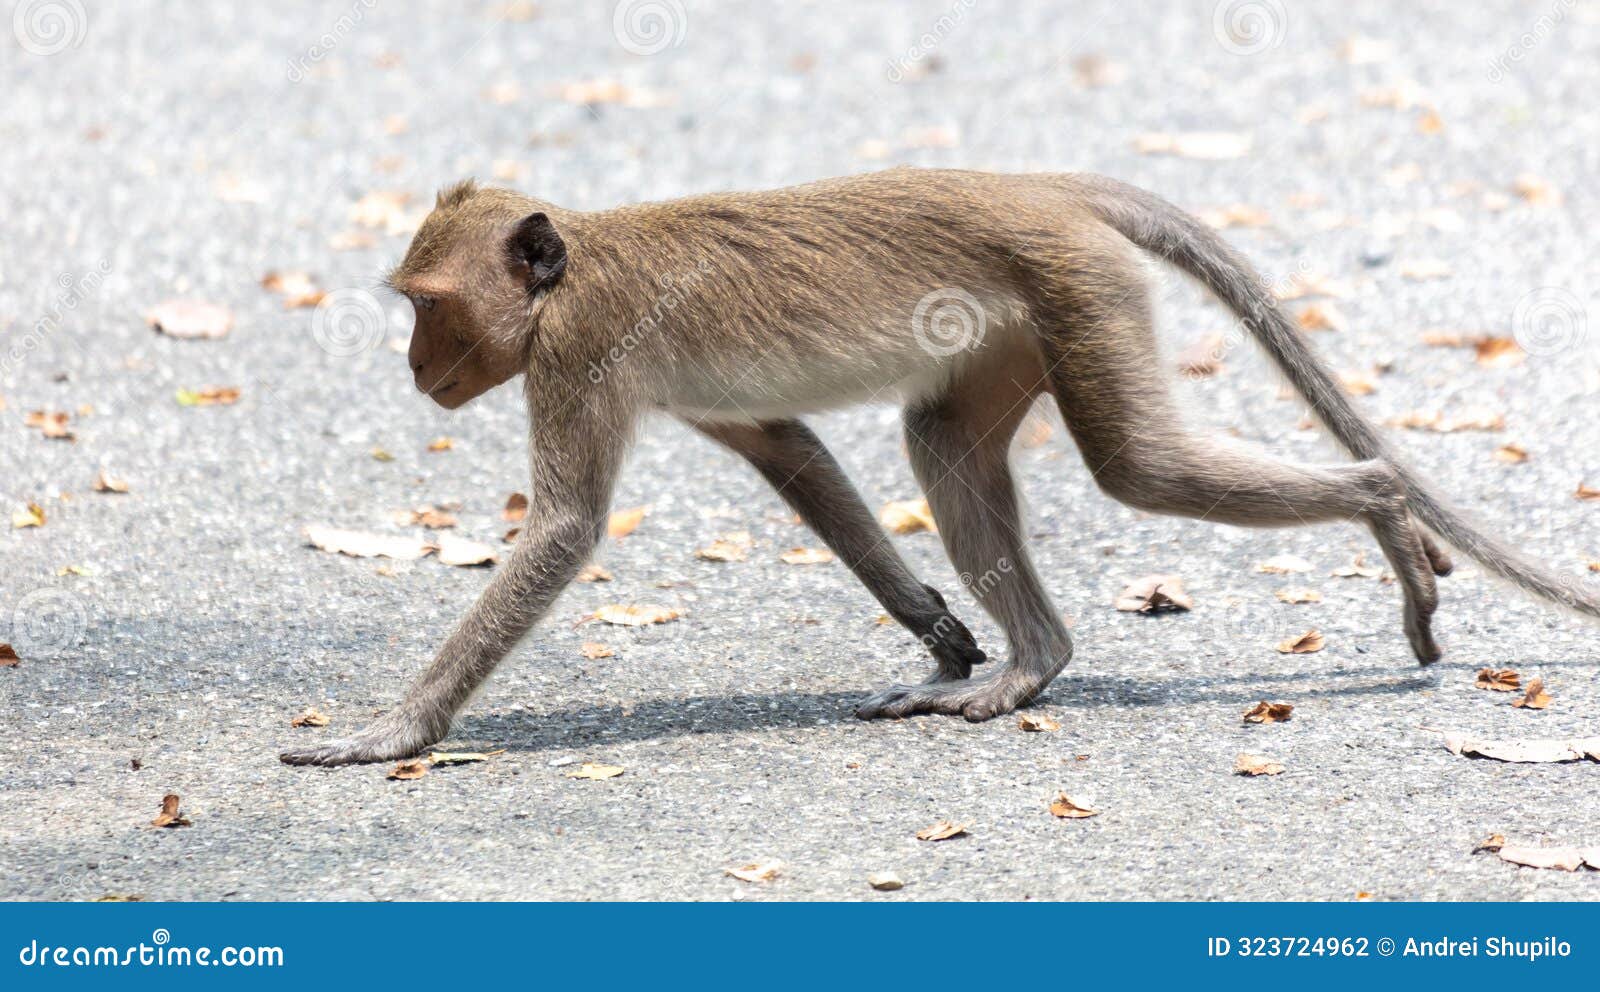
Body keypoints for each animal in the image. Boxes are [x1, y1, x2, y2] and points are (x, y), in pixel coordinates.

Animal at [280, 168, 1598, 766]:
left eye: (428, 307)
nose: (415, 366)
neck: (575, 269)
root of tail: (1047, 185)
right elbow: (790, 452)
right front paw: (932, 624)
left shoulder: (580, 356)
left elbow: (559, 530)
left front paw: (389, 730)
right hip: (1017, 327)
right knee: (946, 444)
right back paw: (1026, 663)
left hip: (1078, 288)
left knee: (1140, 466)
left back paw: (1385, 503)